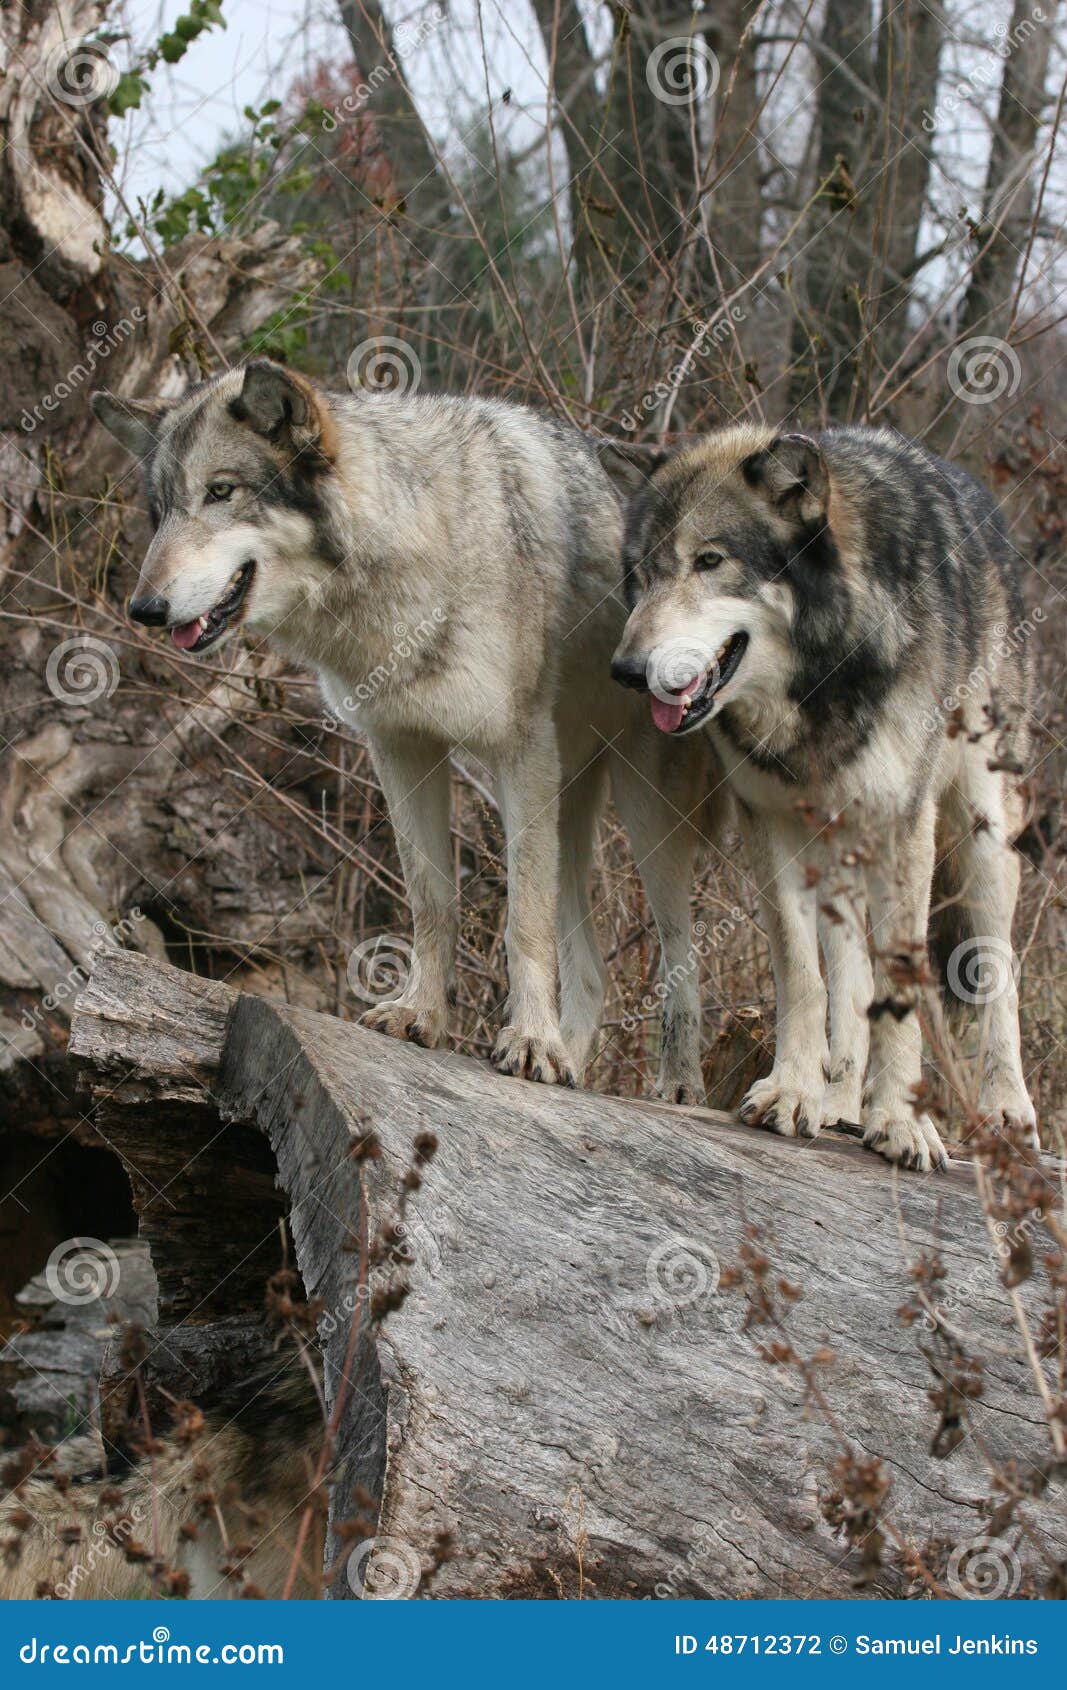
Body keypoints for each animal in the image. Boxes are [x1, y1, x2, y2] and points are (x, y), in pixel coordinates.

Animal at [91, 361, 718, 1101]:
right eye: (159, 513)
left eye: (220, 492)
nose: (143, 608)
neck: (415, 548)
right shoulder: (400, 746)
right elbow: (431, 897)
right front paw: (422, 1015)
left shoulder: (520, 751)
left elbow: (521, 922)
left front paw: (530, 1043)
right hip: (567, 805)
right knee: (592, 970)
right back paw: (575, 1059)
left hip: (644, 813)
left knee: (679, 948)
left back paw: (676, 1088)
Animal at [610, 424, 1036, 1171]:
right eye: (642, 572)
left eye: (708, 561)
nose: (627, 670)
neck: (820, 679)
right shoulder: (769, 822)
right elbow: (803, 973)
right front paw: (792, 1092)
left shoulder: (903, 828)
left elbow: (903, 987)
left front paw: (901, 1123)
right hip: (832, 849)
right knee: (849, 974)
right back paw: (837, 1101)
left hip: (979, 836)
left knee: (996, 966)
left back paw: (1007, 1111)